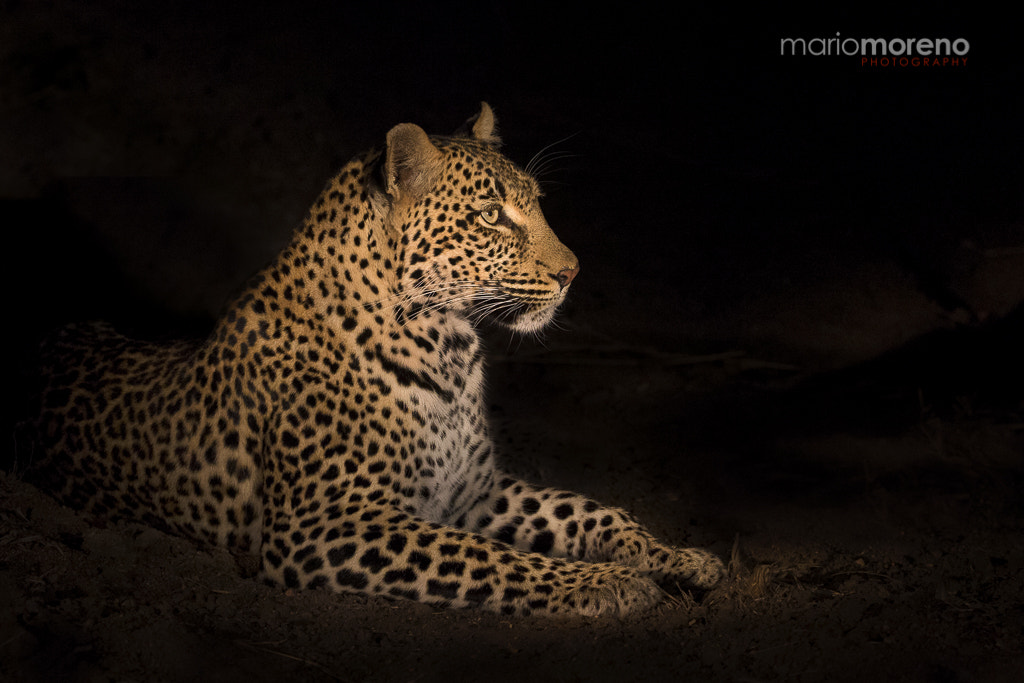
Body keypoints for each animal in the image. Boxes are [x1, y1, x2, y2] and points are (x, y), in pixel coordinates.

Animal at [30, 103, 725, 617]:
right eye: (491, 217)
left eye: (537, 204)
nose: (572, 273)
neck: (450, 353)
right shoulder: (329, 525)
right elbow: (484, 557)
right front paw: (605, 583)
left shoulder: (475, 491)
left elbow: (591, 509)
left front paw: (680, 558)